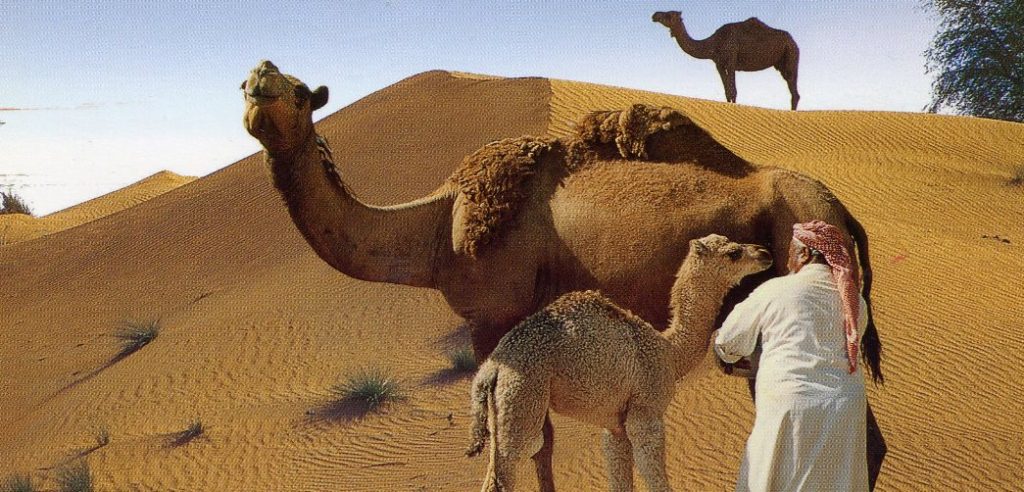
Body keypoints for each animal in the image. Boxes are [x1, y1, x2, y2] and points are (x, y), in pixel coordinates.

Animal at [467, 234, 772, 492]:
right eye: (733, 253)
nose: (764, 253)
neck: (669, 352)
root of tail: (491, 370)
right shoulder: (646, 411)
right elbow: (654, 474)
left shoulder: (614, 424)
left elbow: (619, 473)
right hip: (522, 397)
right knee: (513, 462)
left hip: (504, 408)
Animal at [652, 11, 801, 110]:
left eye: (668, 15)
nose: (655, 15)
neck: (714, 43)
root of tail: (793, 41)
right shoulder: (719, 64)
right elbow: (727, 92)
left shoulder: (731, 61)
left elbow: (733, 90)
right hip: (781, 62)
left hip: (791, 54)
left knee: (793, 87)